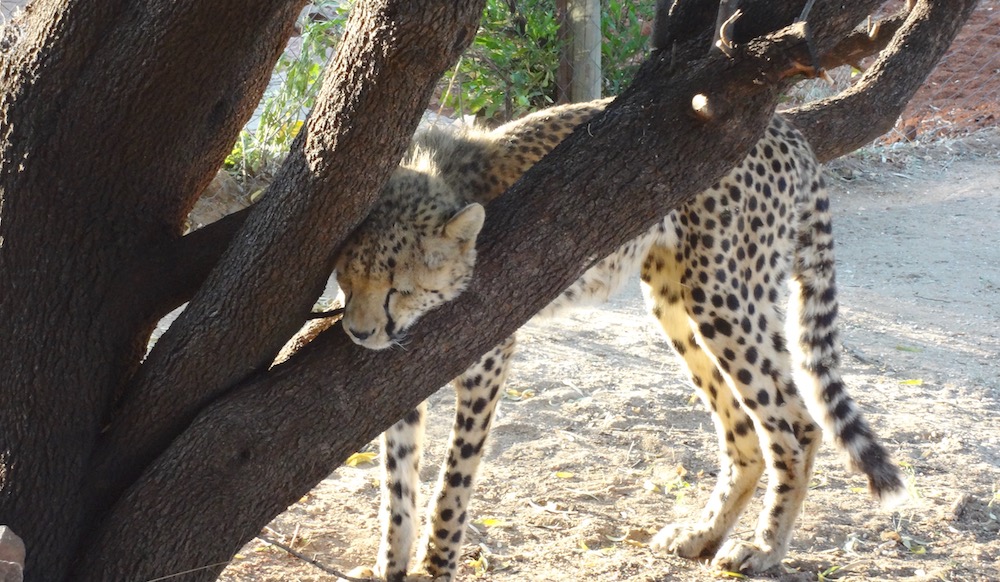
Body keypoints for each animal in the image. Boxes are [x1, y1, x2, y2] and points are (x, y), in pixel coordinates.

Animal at [332, 98, 905, 581]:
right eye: (346, 279)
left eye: (398, 289)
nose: (358, 333)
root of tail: (785, 125)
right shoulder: (401, 384)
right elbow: (397, 485)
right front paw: (389, 566)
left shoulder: (487, 357)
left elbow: (454, 480)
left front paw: (436, 566)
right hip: (674, 301)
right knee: (743, 430)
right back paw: (703, 533)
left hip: (725, 295)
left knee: (796, 425)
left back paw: (764, 548)